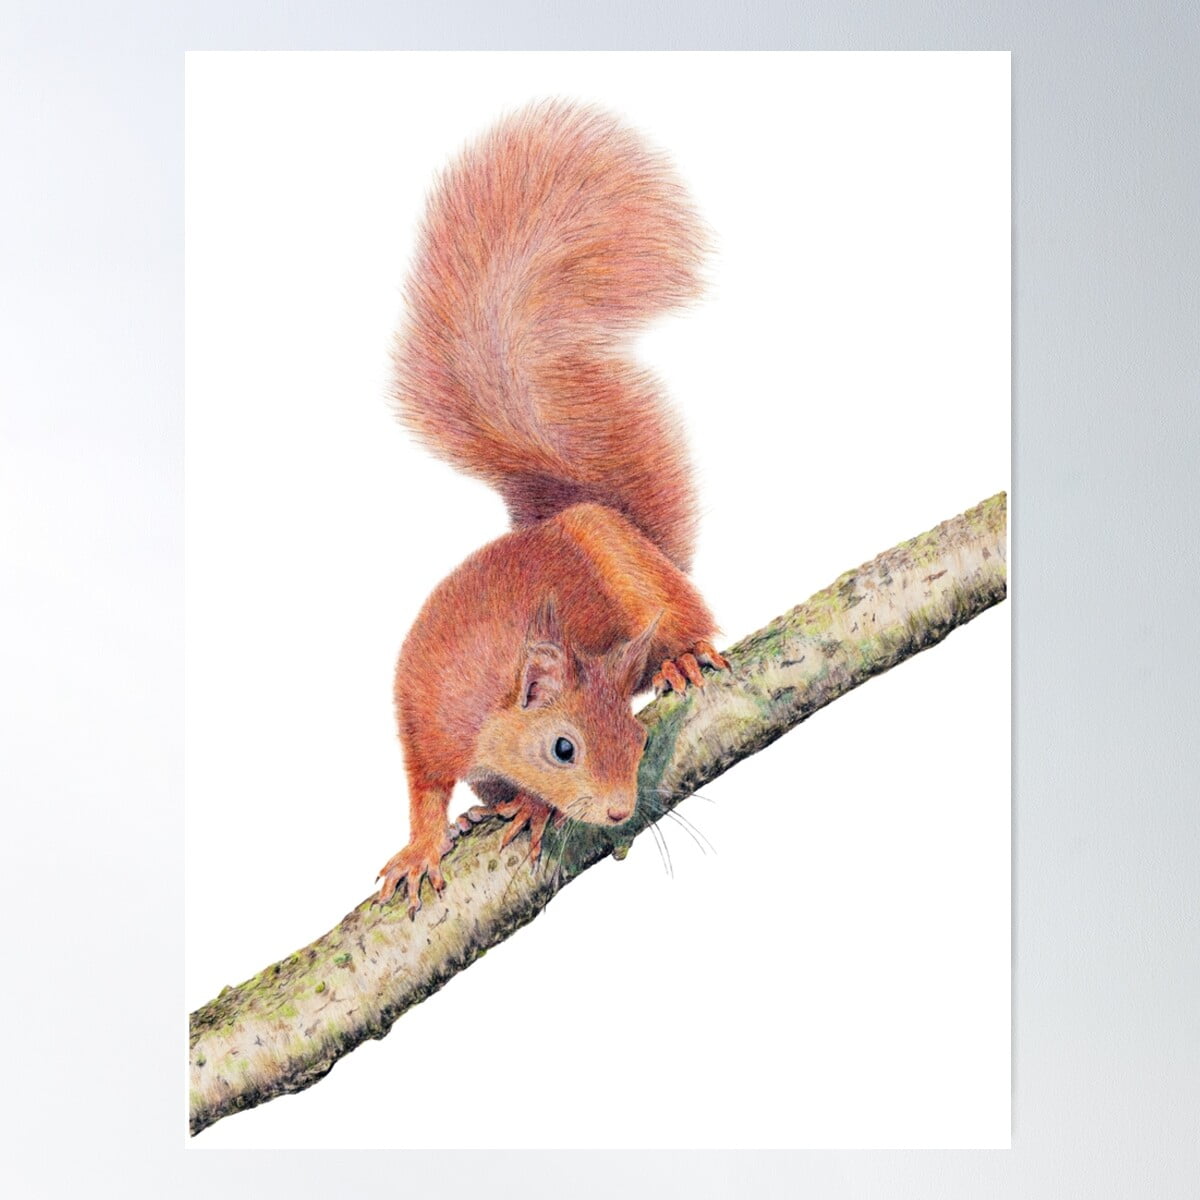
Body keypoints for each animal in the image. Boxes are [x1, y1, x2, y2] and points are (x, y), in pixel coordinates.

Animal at [376, 100, 730, 912]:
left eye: (639, 741)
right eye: (563, 747)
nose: (620, 811)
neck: (489, 698)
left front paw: (536, 810)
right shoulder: (423, 712)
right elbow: (422, 786)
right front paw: (423, 843)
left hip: (637, 569)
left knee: (686, 617)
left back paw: (683, 656)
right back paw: (484, 807)